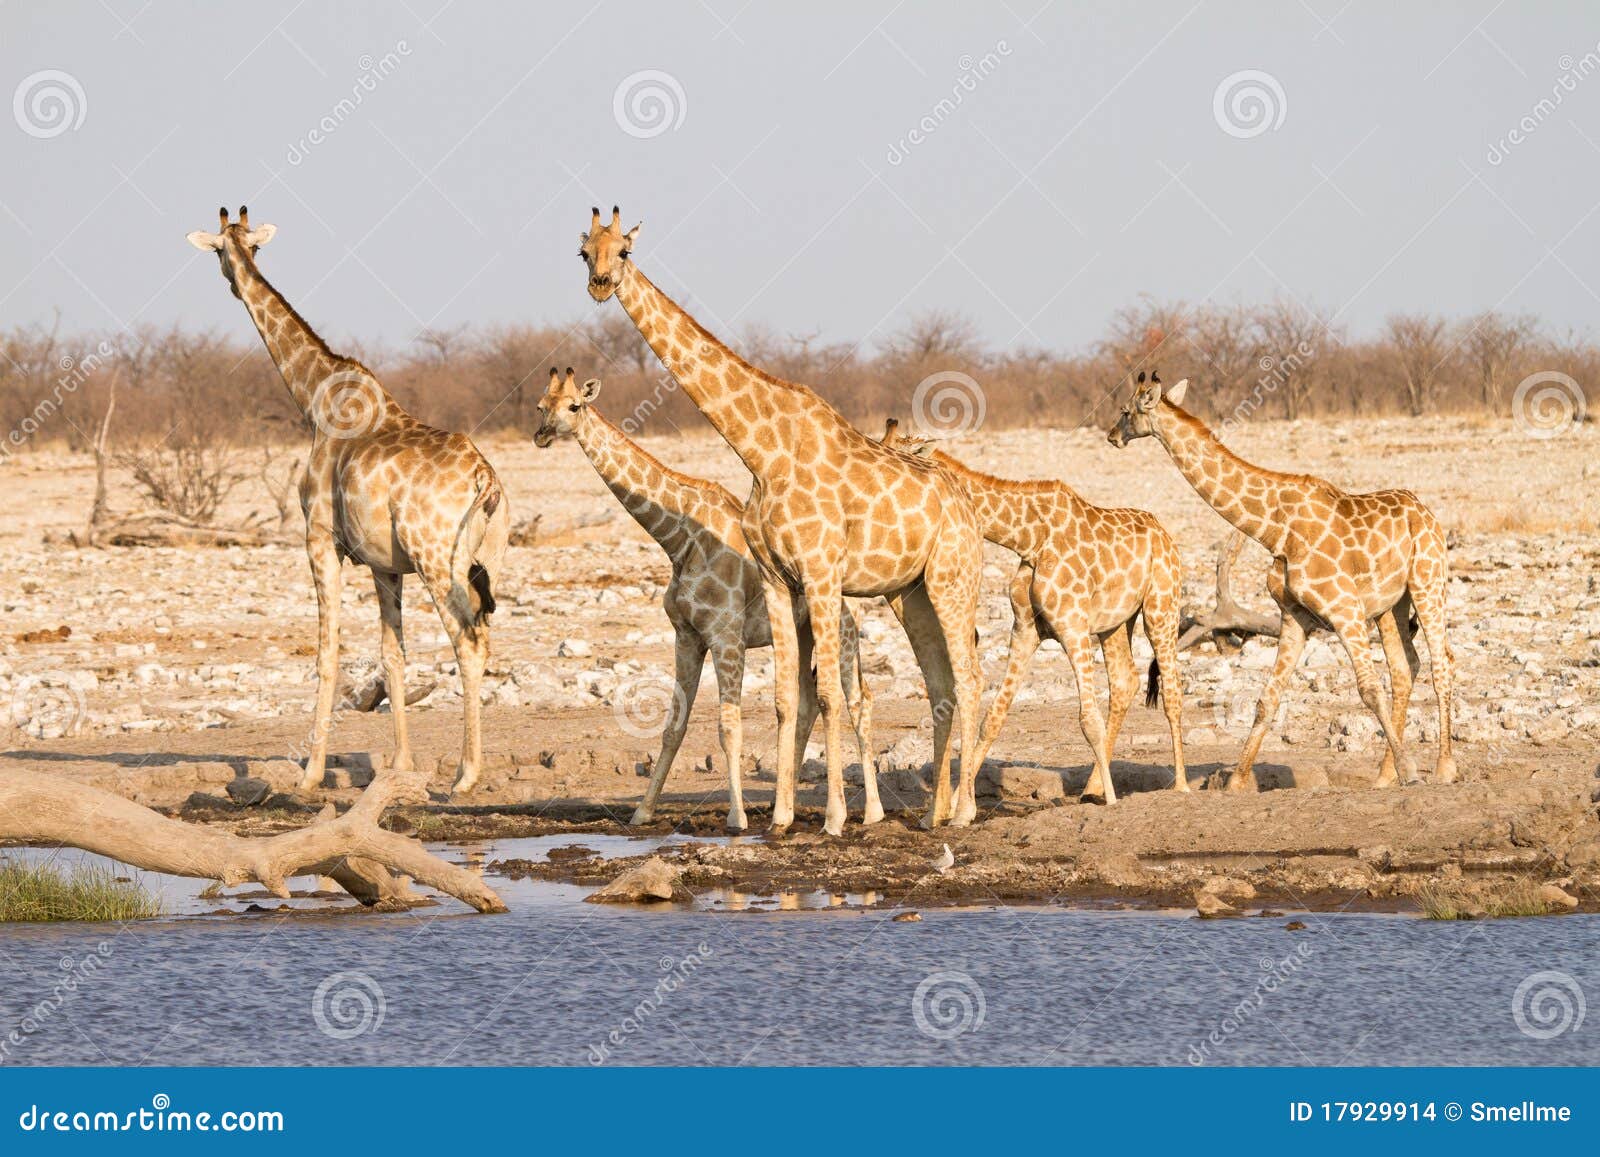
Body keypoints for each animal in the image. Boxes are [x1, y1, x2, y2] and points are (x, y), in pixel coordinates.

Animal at [187, 207, 510, 794]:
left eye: (223, 250)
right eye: (237, 247)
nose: (233, 281)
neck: (314, 397)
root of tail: (485, 479)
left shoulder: (319, 539)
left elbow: (327, 655)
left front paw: (310, 773)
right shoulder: (385, 564)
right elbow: (392, 655)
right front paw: (401, 765)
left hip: (437, 559)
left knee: (468, 642)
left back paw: (466, 775)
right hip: (481, 560)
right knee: (484, 635)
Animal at [533, 368, 878, 829]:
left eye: (574, 406)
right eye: (540, 406)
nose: (541, 435)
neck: (676, 540)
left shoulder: (726, 636)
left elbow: (728, 726)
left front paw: (736, 818)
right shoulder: (686, 636)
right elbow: (672, 726)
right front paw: (643, 812)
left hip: (841, 625)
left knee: (858, 699)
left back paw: (870, 812)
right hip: (804, 629)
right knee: (808, 703)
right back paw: (785, 805)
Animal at [578, 207, 985, 833]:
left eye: (623, 250)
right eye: (584, 252)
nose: (600, 284)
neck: (760, 453)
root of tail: (969, 511)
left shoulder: (819, 573)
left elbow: (831, 697)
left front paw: (835, 817)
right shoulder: (777, 579)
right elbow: (785, 699)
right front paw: (781, 818)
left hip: (951, 581)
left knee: (969, 679)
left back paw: (962, 812)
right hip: (910, 593)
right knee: (940, 682)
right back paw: (931, 815)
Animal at [880, 420, 1187, 802]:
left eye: (893, 455)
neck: (1028, 538)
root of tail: (1165, 534)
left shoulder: (1072, 625)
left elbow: (1088, 720)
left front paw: (1114, 801)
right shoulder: (1025, 627)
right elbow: (994, 716)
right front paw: (962, 802)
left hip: (1162, 607)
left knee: (1172, 691)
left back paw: (1181, 784)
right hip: (1115, 624)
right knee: (1124, 681)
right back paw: (1092, 788)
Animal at [1108, 372, 1456, 791]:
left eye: (1126, 410)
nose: (1112, 435)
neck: (1273, 528)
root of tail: (1428, 512)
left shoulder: (1344, 608)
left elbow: (1369, 689)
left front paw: (1411, 771)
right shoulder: (1295, 616)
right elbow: (1267, 698)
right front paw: (1236, 783)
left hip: (1428, 581)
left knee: (1442, 662)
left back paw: (1443, 768)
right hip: (1391, 605)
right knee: (1406, 667)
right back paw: (1384, 775)